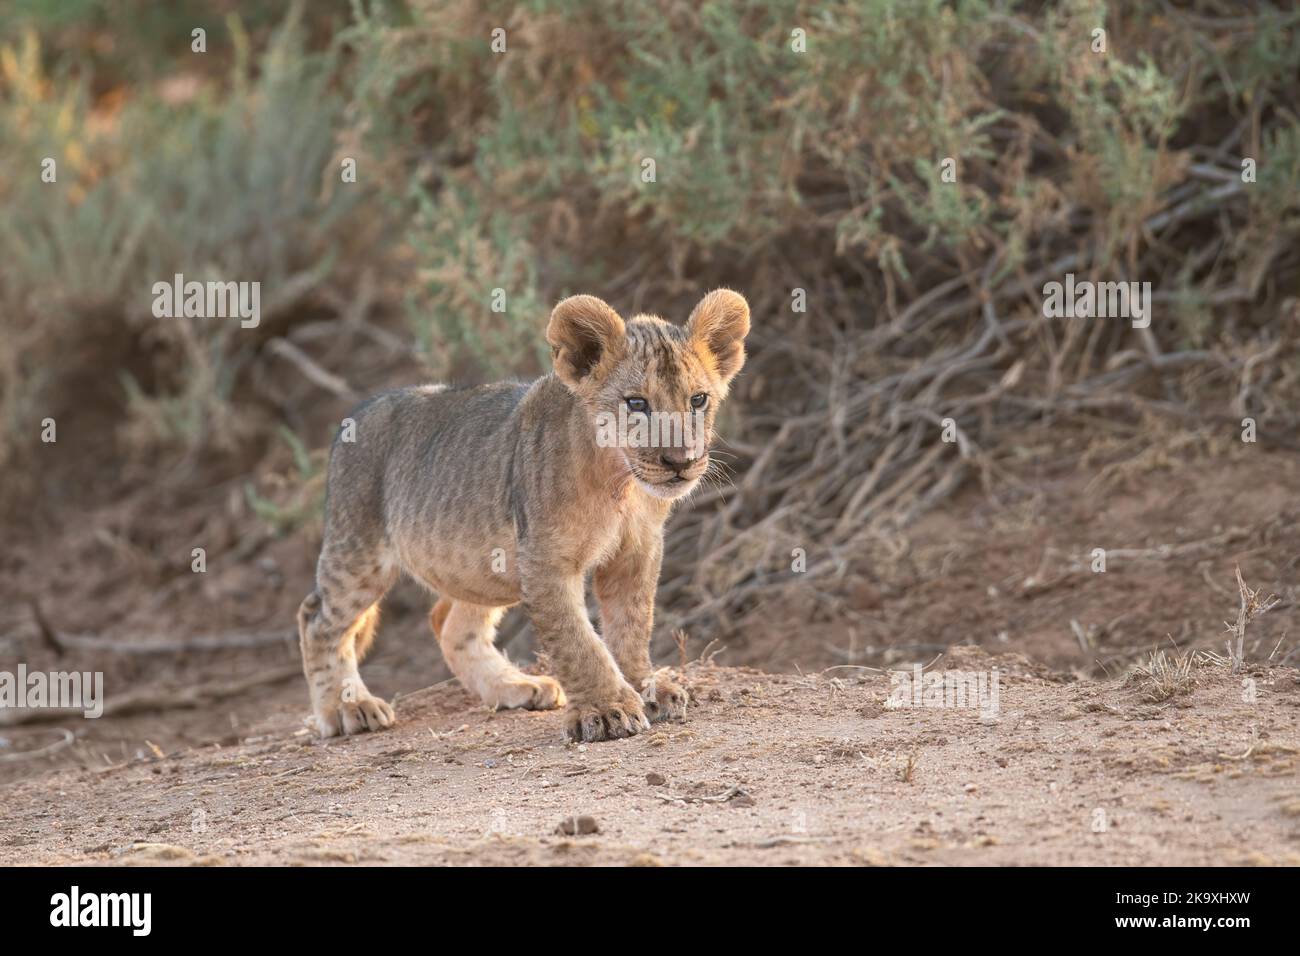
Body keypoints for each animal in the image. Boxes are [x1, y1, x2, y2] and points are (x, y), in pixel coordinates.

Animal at [297, 288, 750, 742]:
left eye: (698, 400)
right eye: (636, 403)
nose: (681, 461)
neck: (621, 484)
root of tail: (361, 409)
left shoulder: (637, 550)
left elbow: (632, 625)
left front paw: (645, 687)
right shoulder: (545, 559)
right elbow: (577, 641)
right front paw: (607, 709)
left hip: (482, 567)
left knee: (450, 624)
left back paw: (512, 686)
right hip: (359, 553)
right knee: (317, 618)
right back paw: (346, 707)